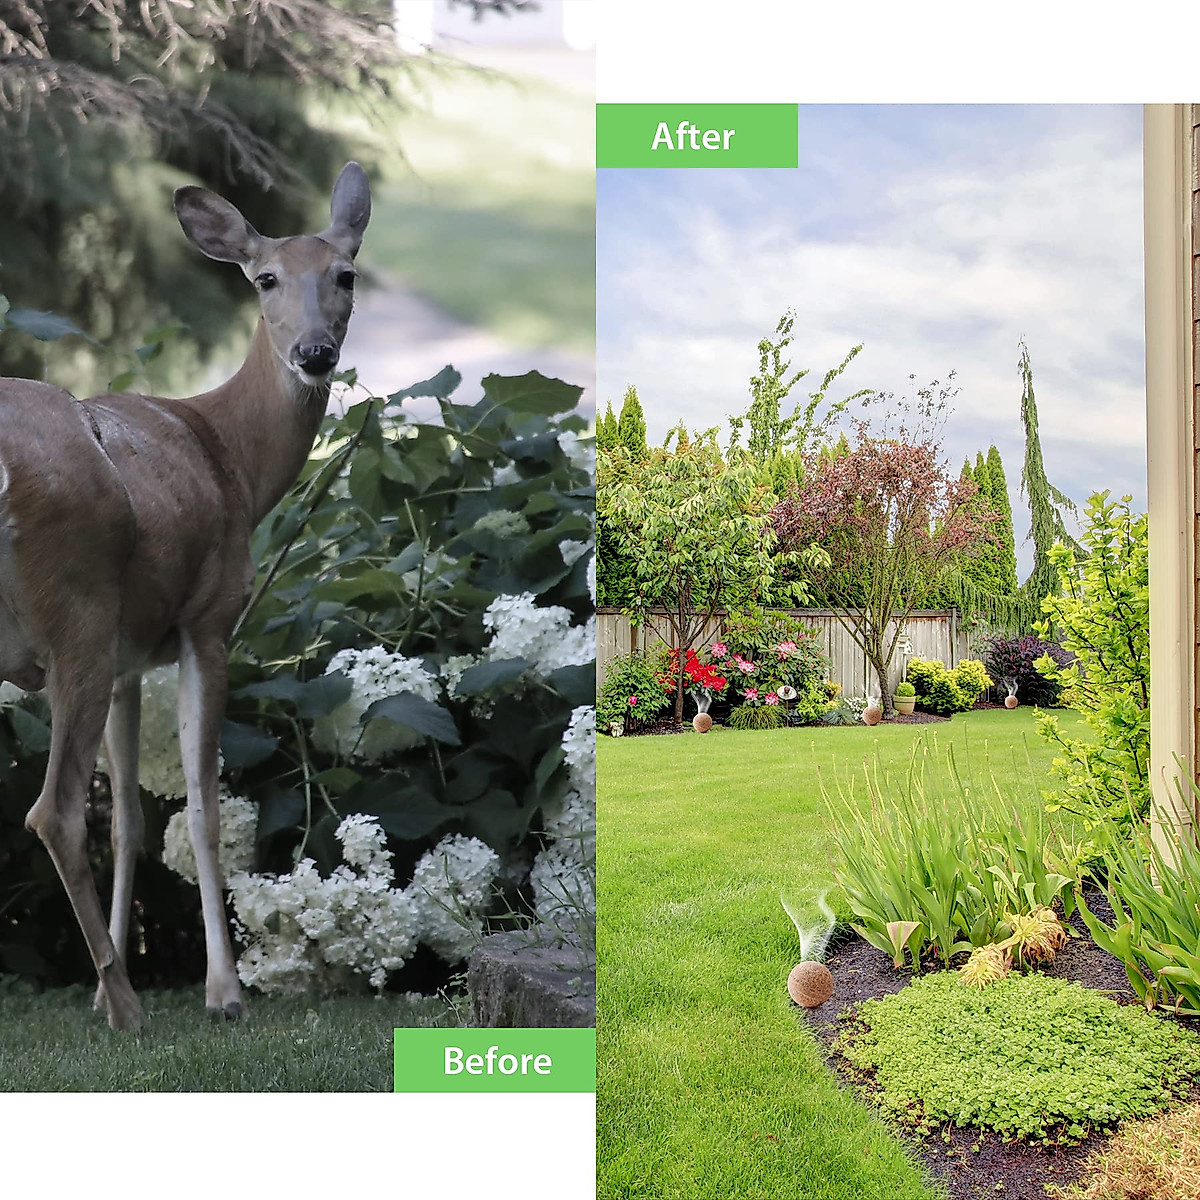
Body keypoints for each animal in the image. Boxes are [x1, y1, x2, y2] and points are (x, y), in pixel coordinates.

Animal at [0, 162, 371, 1031]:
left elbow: (132, 817)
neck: (229, 457)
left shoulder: (133, 657)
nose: (314, 353)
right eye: (265, 278)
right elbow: (201, 808)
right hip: (76, 609)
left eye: (345, 274)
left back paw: (114, 990)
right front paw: (224, 991)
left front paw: (109, 984)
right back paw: (128, 1005)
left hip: (86, 633)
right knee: (53, 810)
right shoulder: (207, 621)